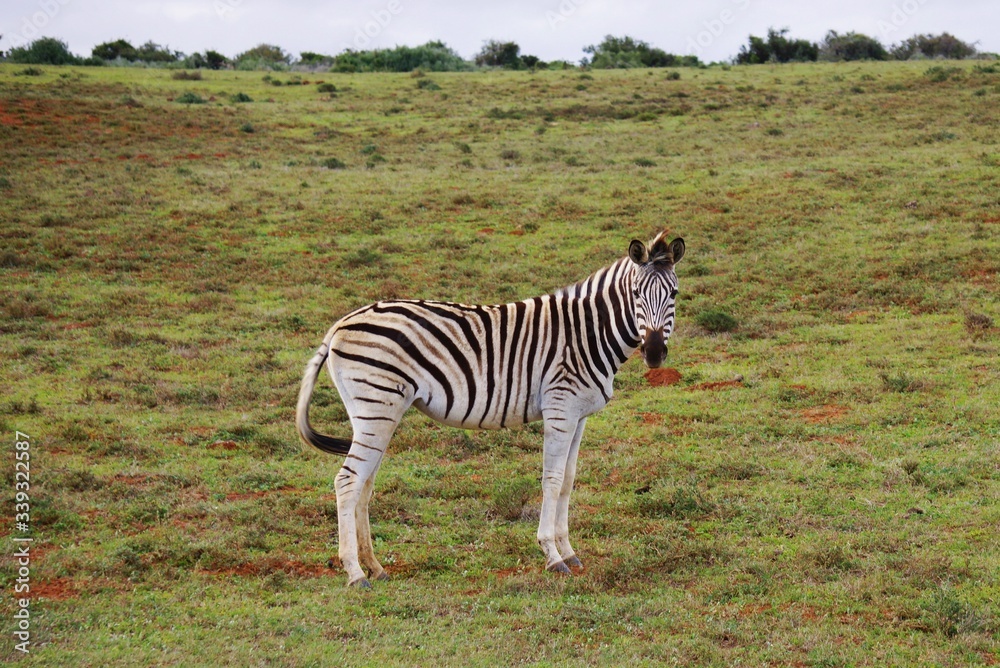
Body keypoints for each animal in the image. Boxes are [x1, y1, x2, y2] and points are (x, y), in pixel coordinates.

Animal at [296, 232, 685, 587]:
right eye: (636, 294)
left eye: (674, 294)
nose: (653, 353)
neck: (587, 334)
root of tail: (341, 324)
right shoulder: (560, 408)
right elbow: (552, 479)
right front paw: (553, 554)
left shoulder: (579, 416)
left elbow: (568, 480)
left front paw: (569, 551)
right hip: (376, 406)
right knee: (347, 481)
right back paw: (355, 572)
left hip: (376, 413)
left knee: (364, 482)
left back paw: (375, 566)